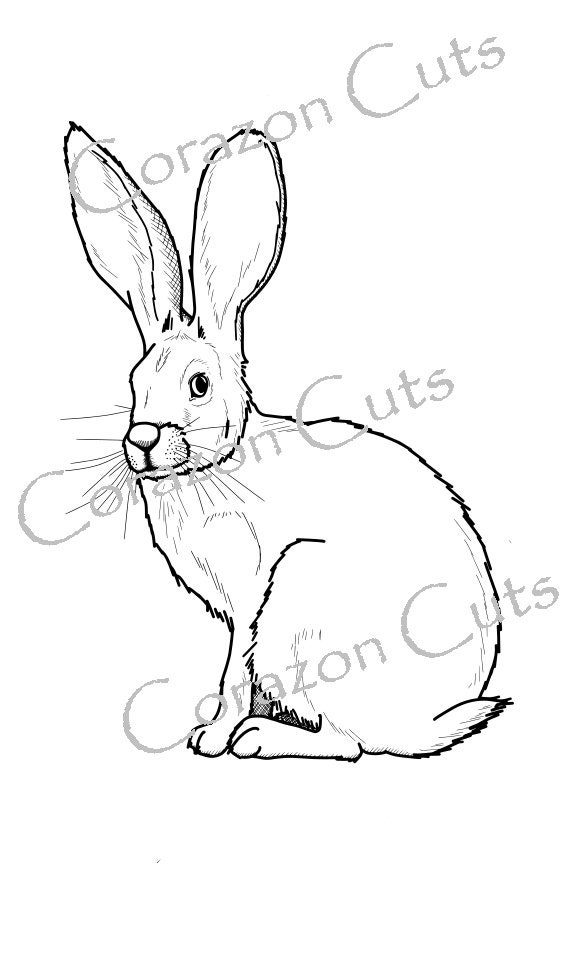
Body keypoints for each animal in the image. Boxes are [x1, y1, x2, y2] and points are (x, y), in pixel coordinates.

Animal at [63, 122, 510, 761]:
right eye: (134, 384)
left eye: (199, 384)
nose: (142, 440)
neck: (215, 466)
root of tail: (416, 725)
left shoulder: (250, 599)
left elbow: (235, 671)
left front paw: (213, 735)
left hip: (302, 604)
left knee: (349, 743)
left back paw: (256, 738)